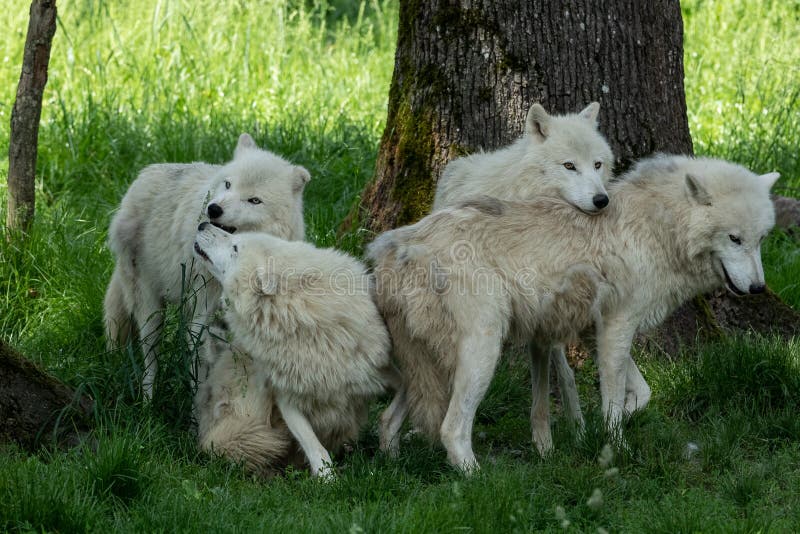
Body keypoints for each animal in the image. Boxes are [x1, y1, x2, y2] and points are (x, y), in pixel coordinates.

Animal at [104, 134, 309, 399]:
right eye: (228, 185)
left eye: (254, 200)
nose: (214, 209)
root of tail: (142, 176)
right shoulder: (204, 313)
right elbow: (200, 368)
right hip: (151, 309)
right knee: (150, 357)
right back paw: (147, 401)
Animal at [369, 154, 778, 471]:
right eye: (734, 239)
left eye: (760, 239)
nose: (759, 288)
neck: (658, 226)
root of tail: (398, 246)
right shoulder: (618, 325)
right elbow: (613, 402)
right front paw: (617, 447)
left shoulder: (599, 329)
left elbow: (640, 394)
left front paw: (593, 426)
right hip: (482, 353)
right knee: (451, 429)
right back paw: (478, 478)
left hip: (431, 364)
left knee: (388, 418)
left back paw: (391, 466)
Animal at [431, 102, 621, 452]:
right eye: (569, 166)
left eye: (598, 164)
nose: (602, 200)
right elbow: (546, 377)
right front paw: (547, 440)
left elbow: (557, 372)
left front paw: (574, 430)